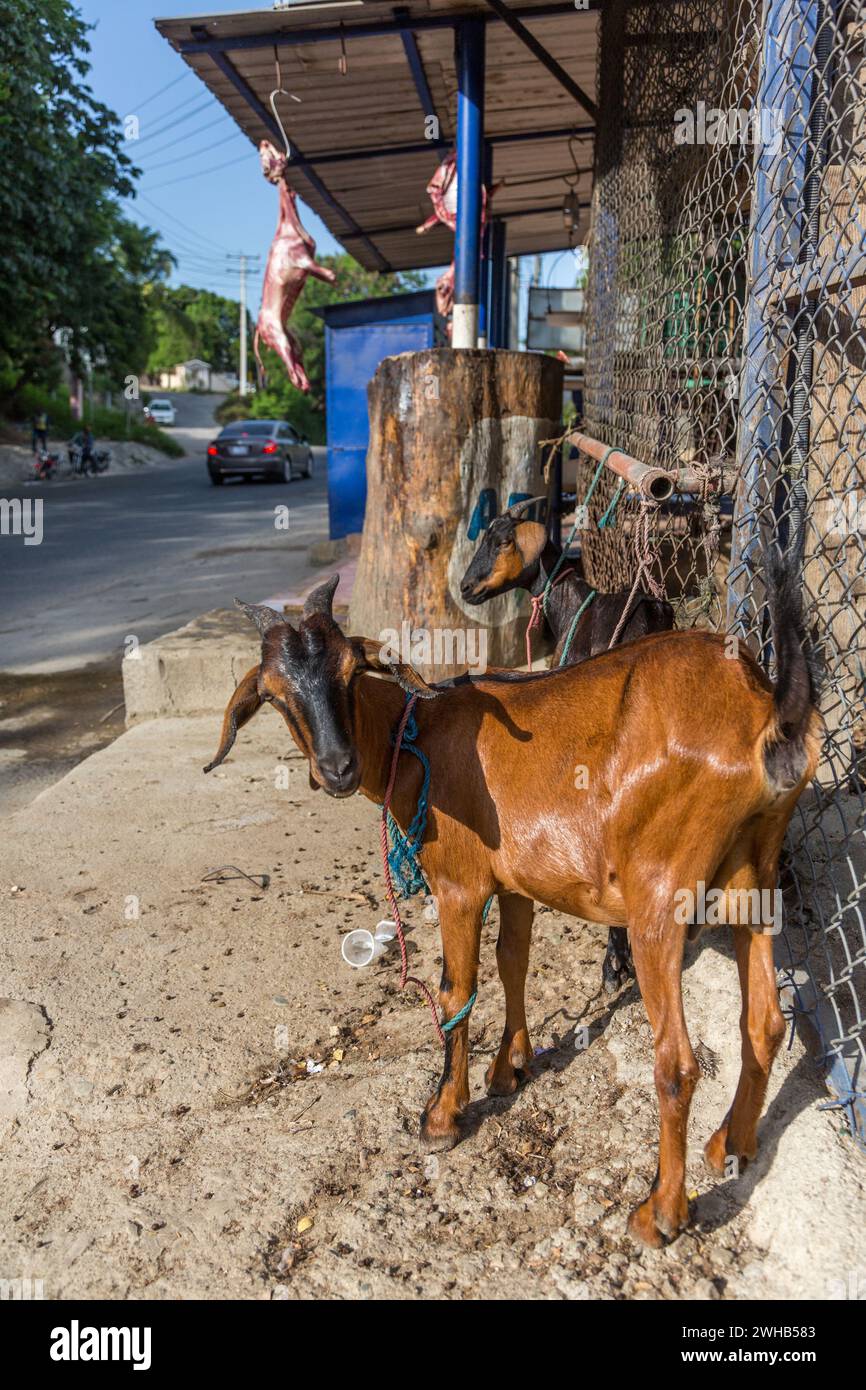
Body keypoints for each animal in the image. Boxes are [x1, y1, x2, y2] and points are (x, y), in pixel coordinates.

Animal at [205, 553, 819, 1247]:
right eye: (275, 695)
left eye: (347, 670)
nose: (337, 768)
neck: (411, 736)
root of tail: (767, 712)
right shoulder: (519, 881)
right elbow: (513, 962)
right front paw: (511, 1068)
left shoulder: (459, 883)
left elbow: (457, 990)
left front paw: (442, 1115)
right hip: (756, 876)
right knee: (763, 1023)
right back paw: (729, 1146)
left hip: (660, 896)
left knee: (677, 1062)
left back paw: (659, 1212)